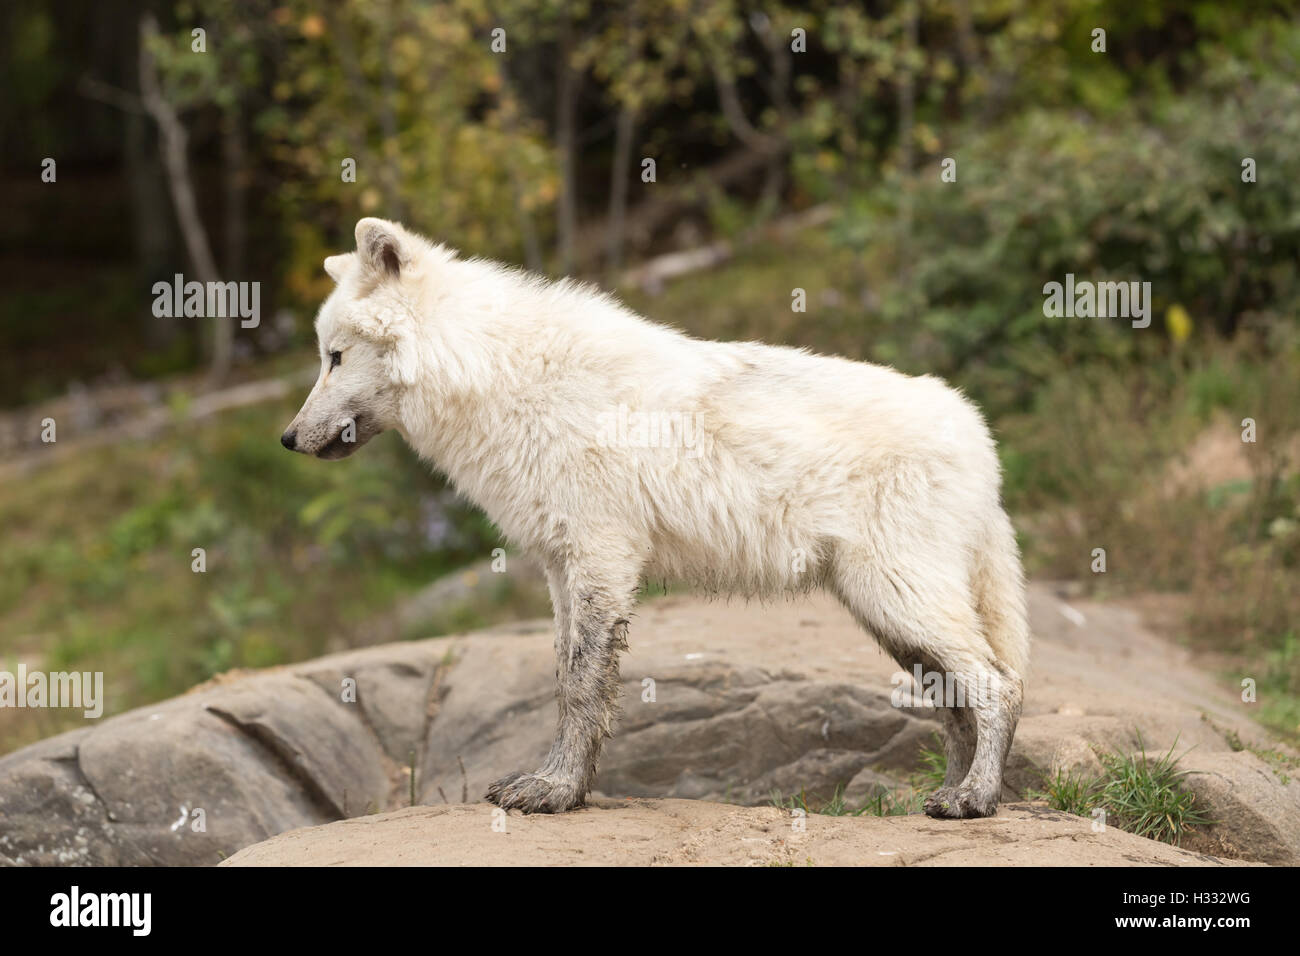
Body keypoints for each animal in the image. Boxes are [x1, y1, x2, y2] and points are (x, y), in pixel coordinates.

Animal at [282, 217, 1030, 818]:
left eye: (333, 358)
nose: (287, 440)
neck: (501, 377)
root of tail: (978, 432)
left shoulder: (601, 558)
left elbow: (583, 687)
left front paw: (555, 793)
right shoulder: (562, 568)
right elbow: (566, 682)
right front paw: (566, 786)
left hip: (898, 599)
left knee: (999, 686)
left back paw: (974, 800)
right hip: (890, 618)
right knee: (964, 702)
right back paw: (952, 793)